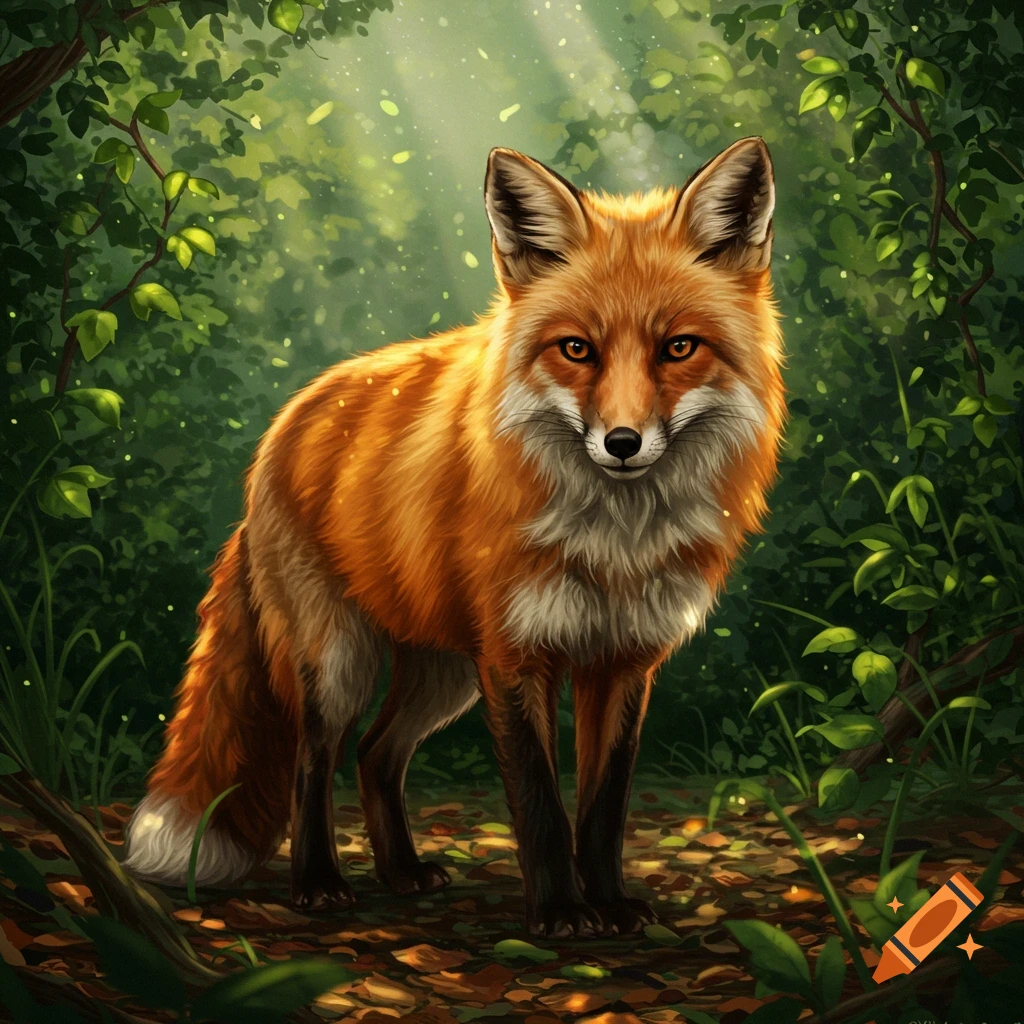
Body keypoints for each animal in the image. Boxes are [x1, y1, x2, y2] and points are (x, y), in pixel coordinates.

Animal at [123, 137, 786, 938]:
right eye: (577, 350)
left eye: (679, 347)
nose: (622, 443)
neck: (613, 547)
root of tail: (287, 420)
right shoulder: (515, 657)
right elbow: (538, 803)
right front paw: (560, 915)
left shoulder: (623, 661)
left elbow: (602, 809)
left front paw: (608, 905)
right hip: (341, 661)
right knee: (315, 760)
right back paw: (319, 882)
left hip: (444, 673)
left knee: (375, 754)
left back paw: (402, 872)